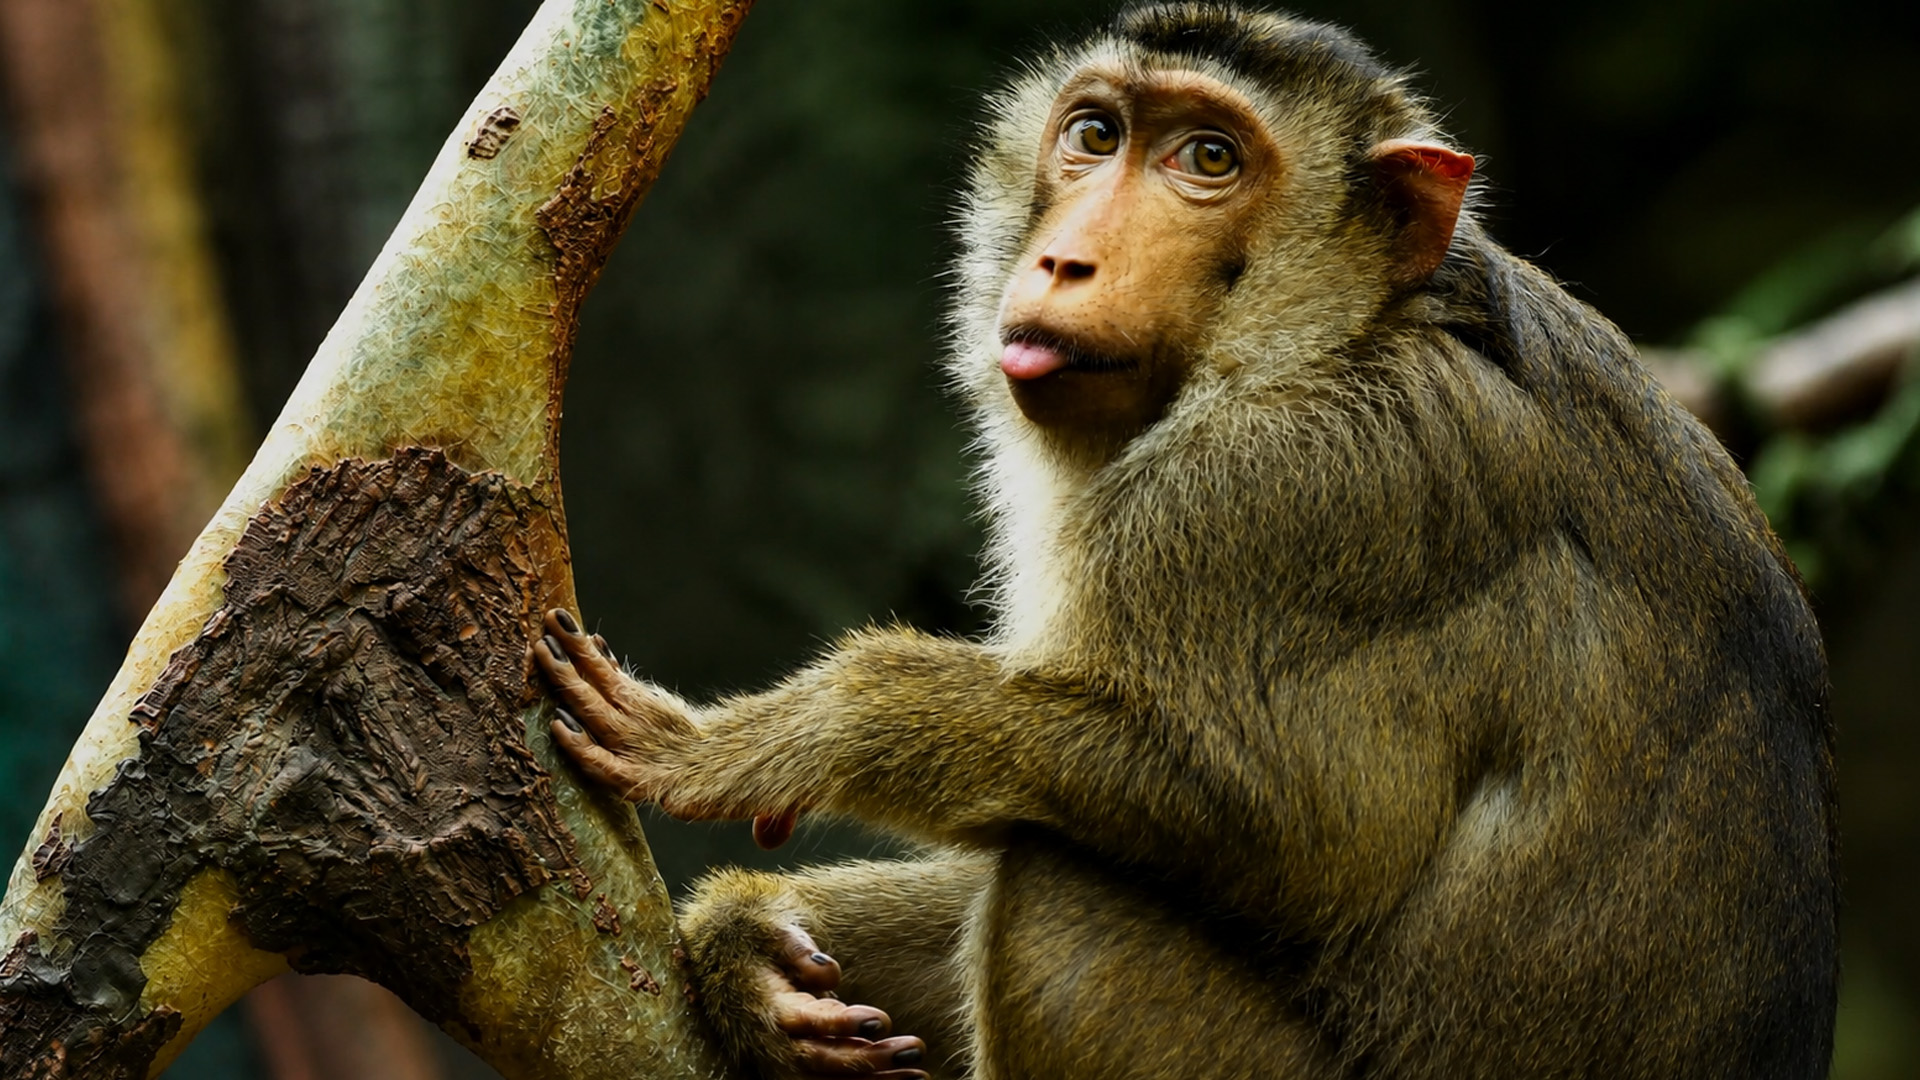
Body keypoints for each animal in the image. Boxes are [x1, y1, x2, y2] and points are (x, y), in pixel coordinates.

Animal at [532, 3, 1837, 1077]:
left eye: (1208, 159)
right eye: (1094, 134)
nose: (1064, 257)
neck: (1341, 329)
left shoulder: (1288, 491)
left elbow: (1290, 822)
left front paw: (786, 736)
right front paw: (751, 947)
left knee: (1059, 899)